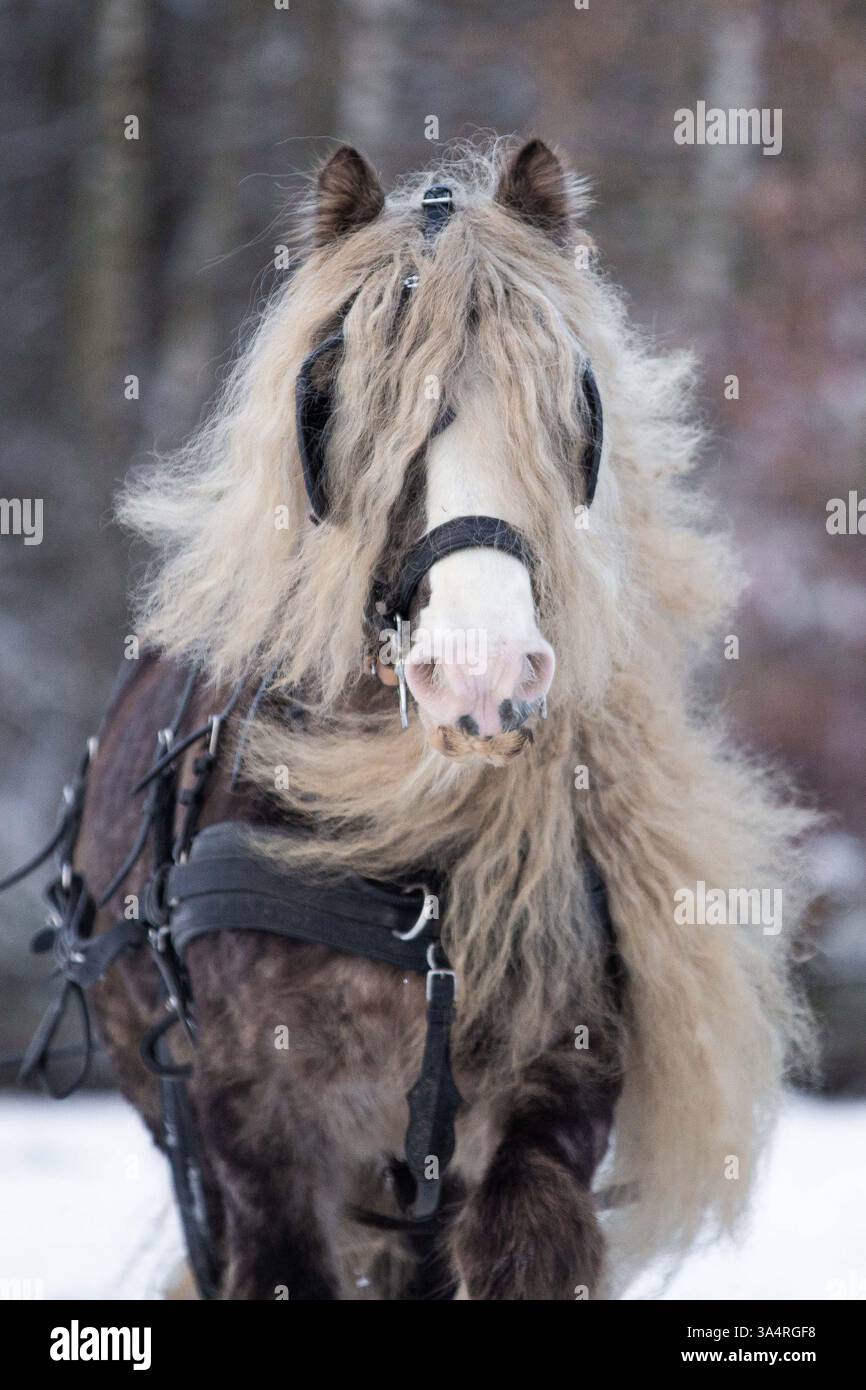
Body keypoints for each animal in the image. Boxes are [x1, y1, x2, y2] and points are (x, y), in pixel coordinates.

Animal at [68, 139, 814, 1299]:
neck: (401, 875)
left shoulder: (555, 1096)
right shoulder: (256, 1131)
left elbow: (526, 1235)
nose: (481, 671)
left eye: (569, 400)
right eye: (342, 400)